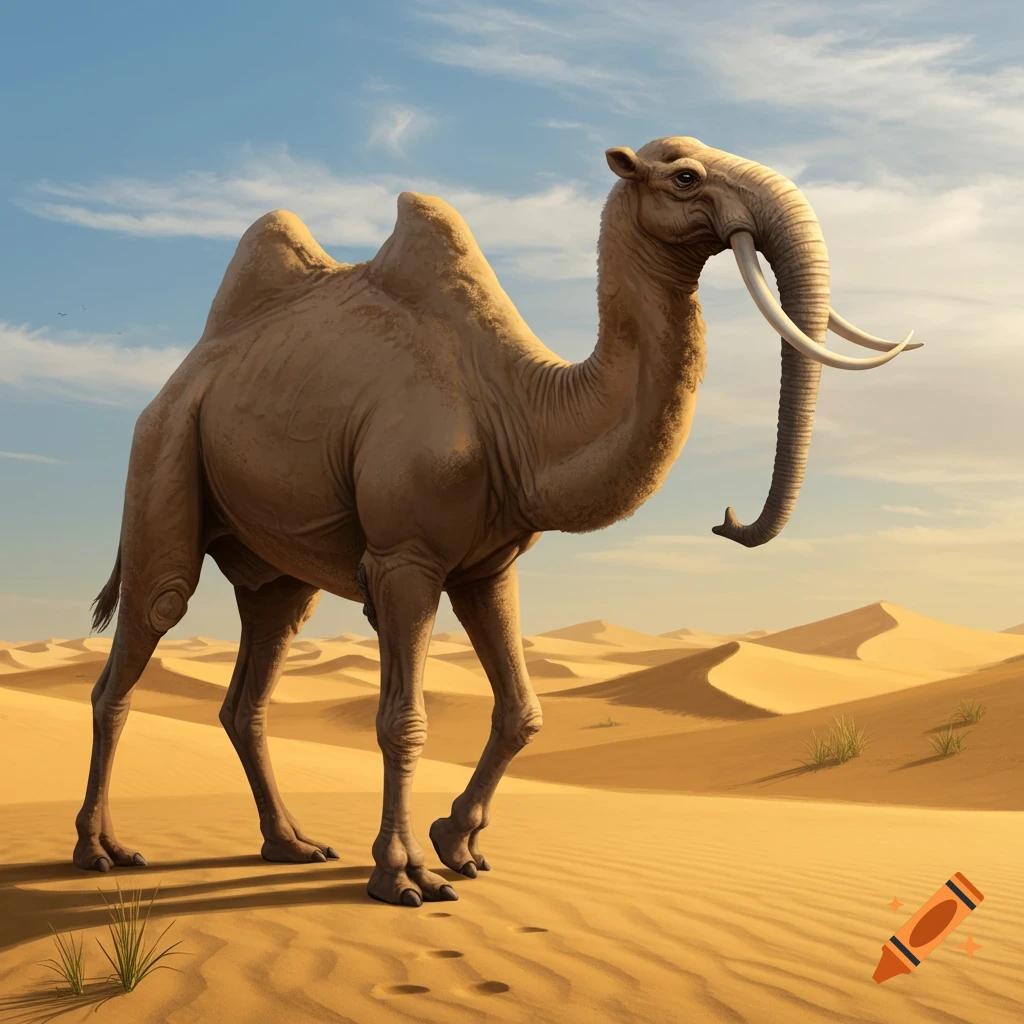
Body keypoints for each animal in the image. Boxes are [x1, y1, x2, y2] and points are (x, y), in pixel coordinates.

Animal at [74, 137, 922, 906]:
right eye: (685, 175)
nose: (729, 517)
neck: (520, 408)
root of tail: (179, 377)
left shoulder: (488, 565)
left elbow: (523, 711)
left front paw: (457, 844)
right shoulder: (405, 558)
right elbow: (403, 720)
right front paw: (404, 875)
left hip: (275, 564)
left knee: (253, 674)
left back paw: (290, 844)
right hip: (165, 449)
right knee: (145, 628)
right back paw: (101, 851)